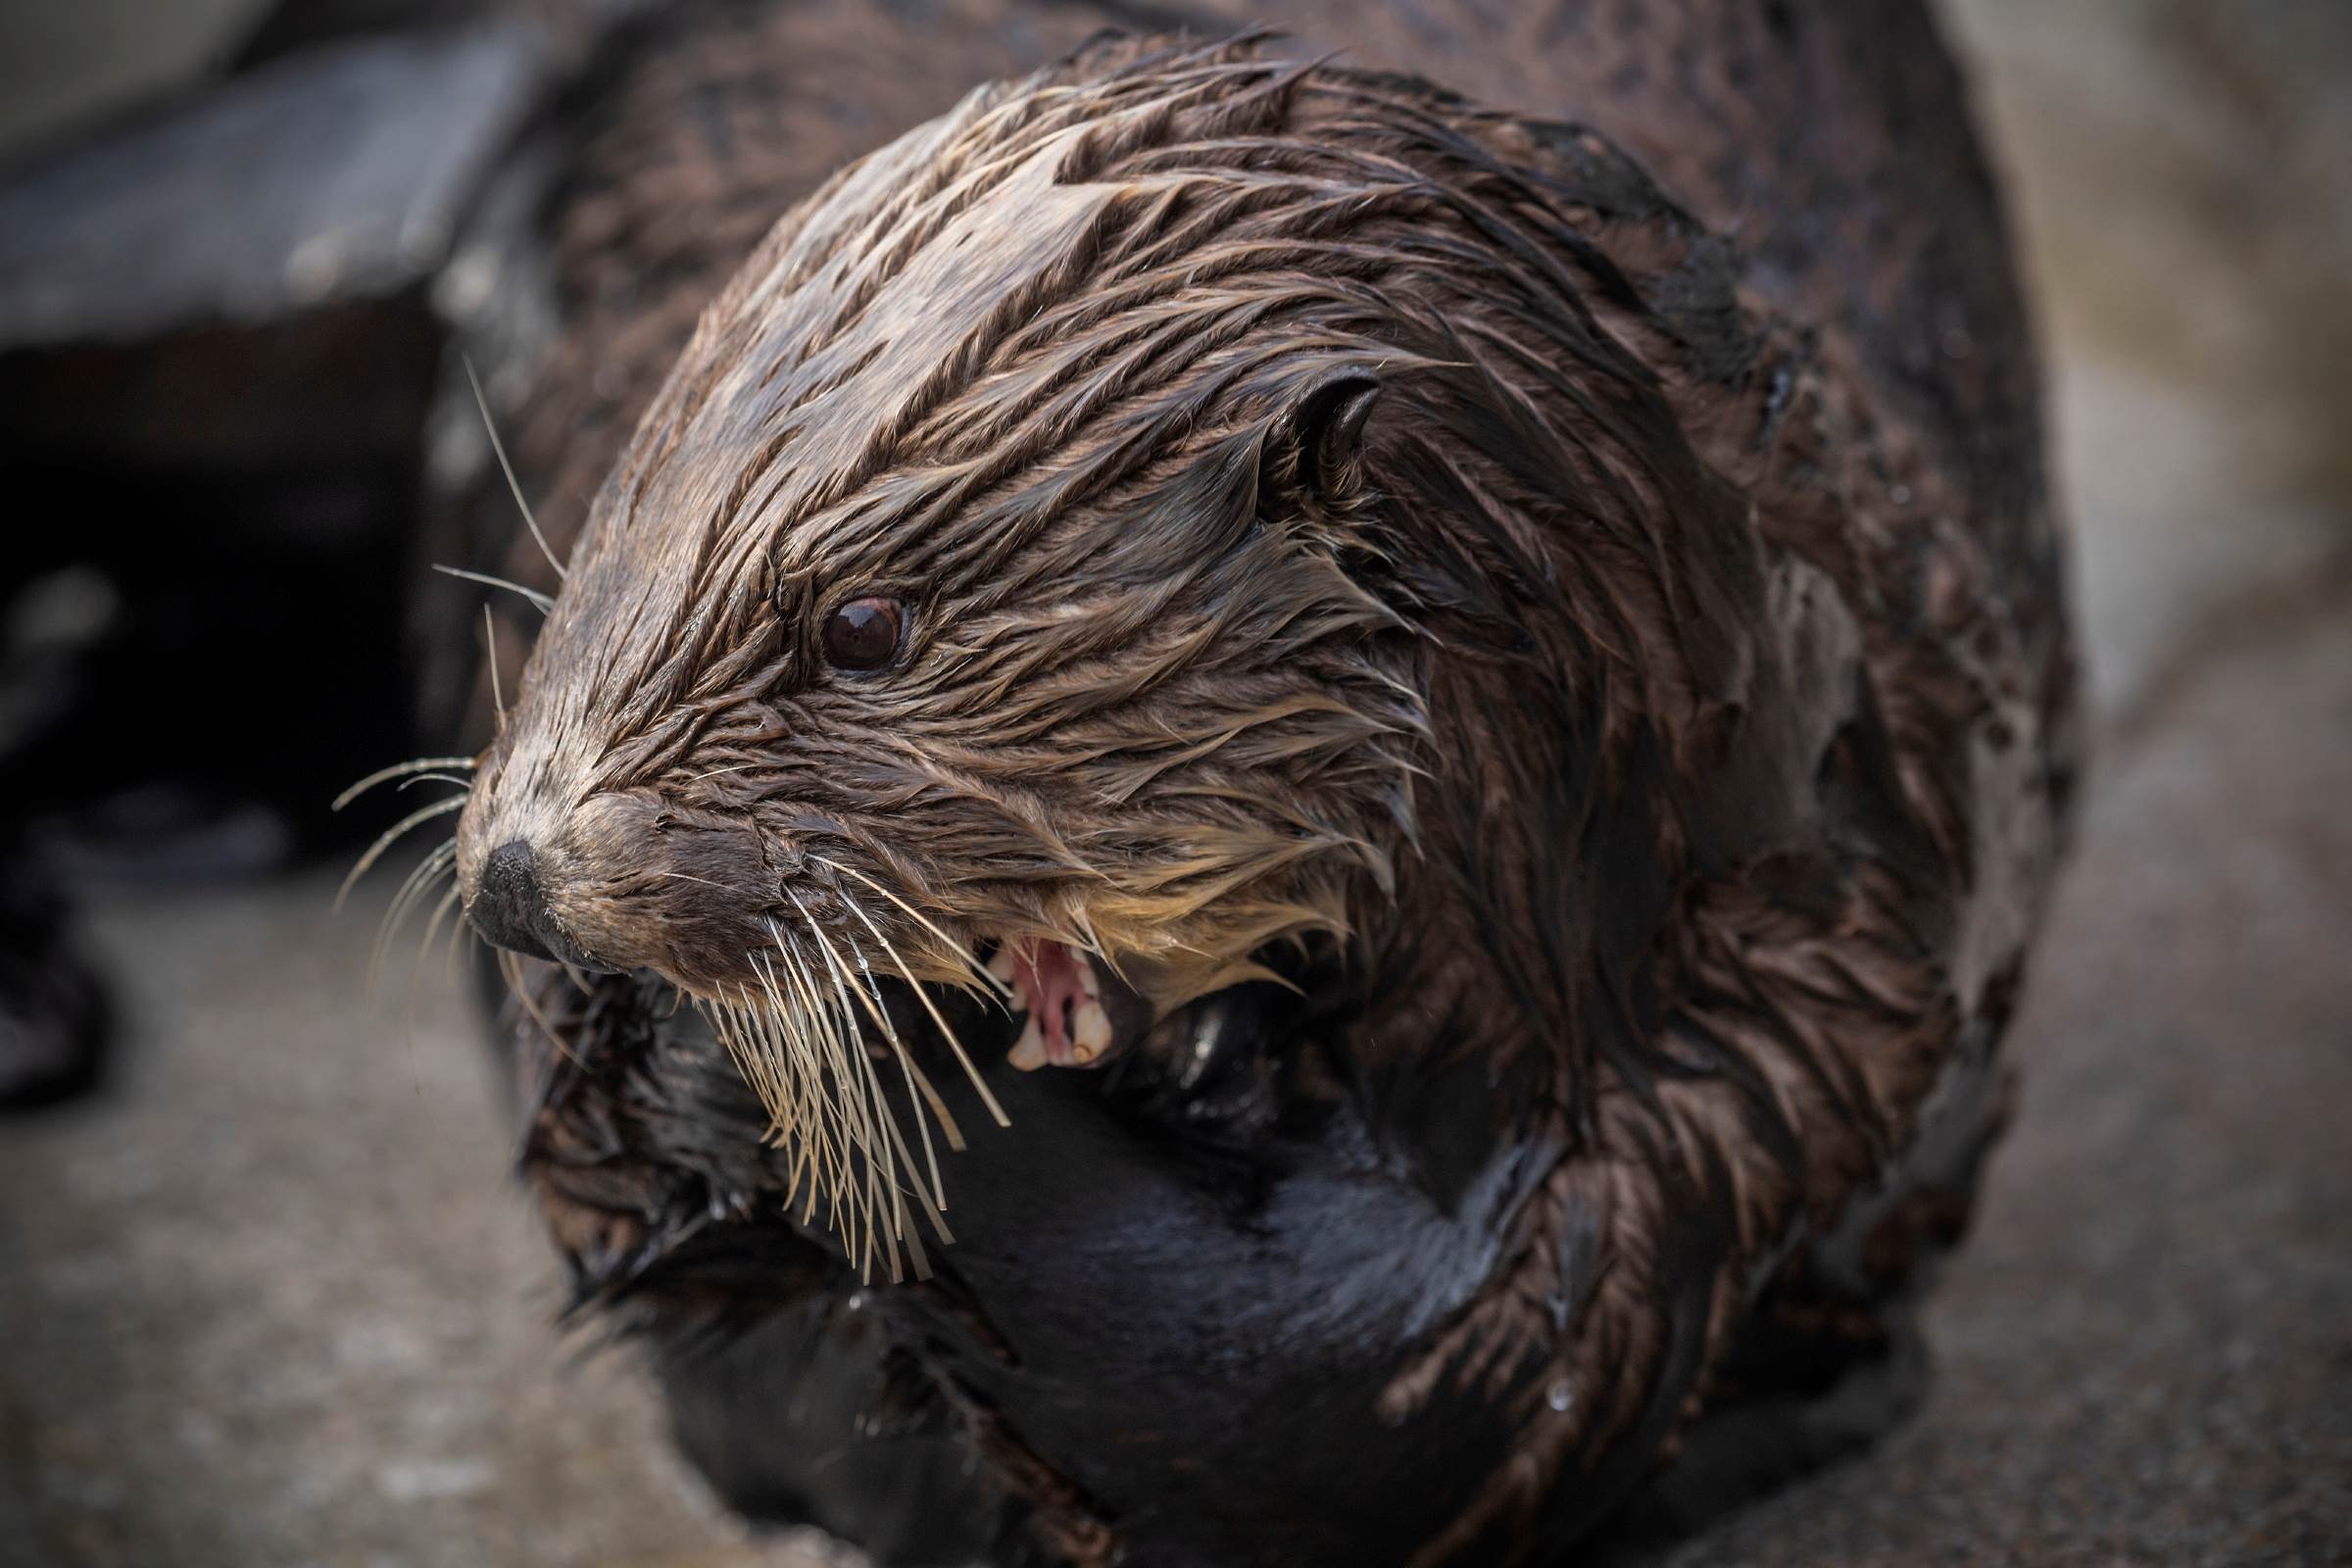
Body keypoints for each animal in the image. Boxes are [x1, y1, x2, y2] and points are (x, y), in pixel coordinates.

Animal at [386, 13, 2074, 1566]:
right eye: (617, 513)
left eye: (863, 628)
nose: (522, 879)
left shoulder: (1780, 1050)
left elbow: (1393, 1392)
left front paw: (739, 1066)